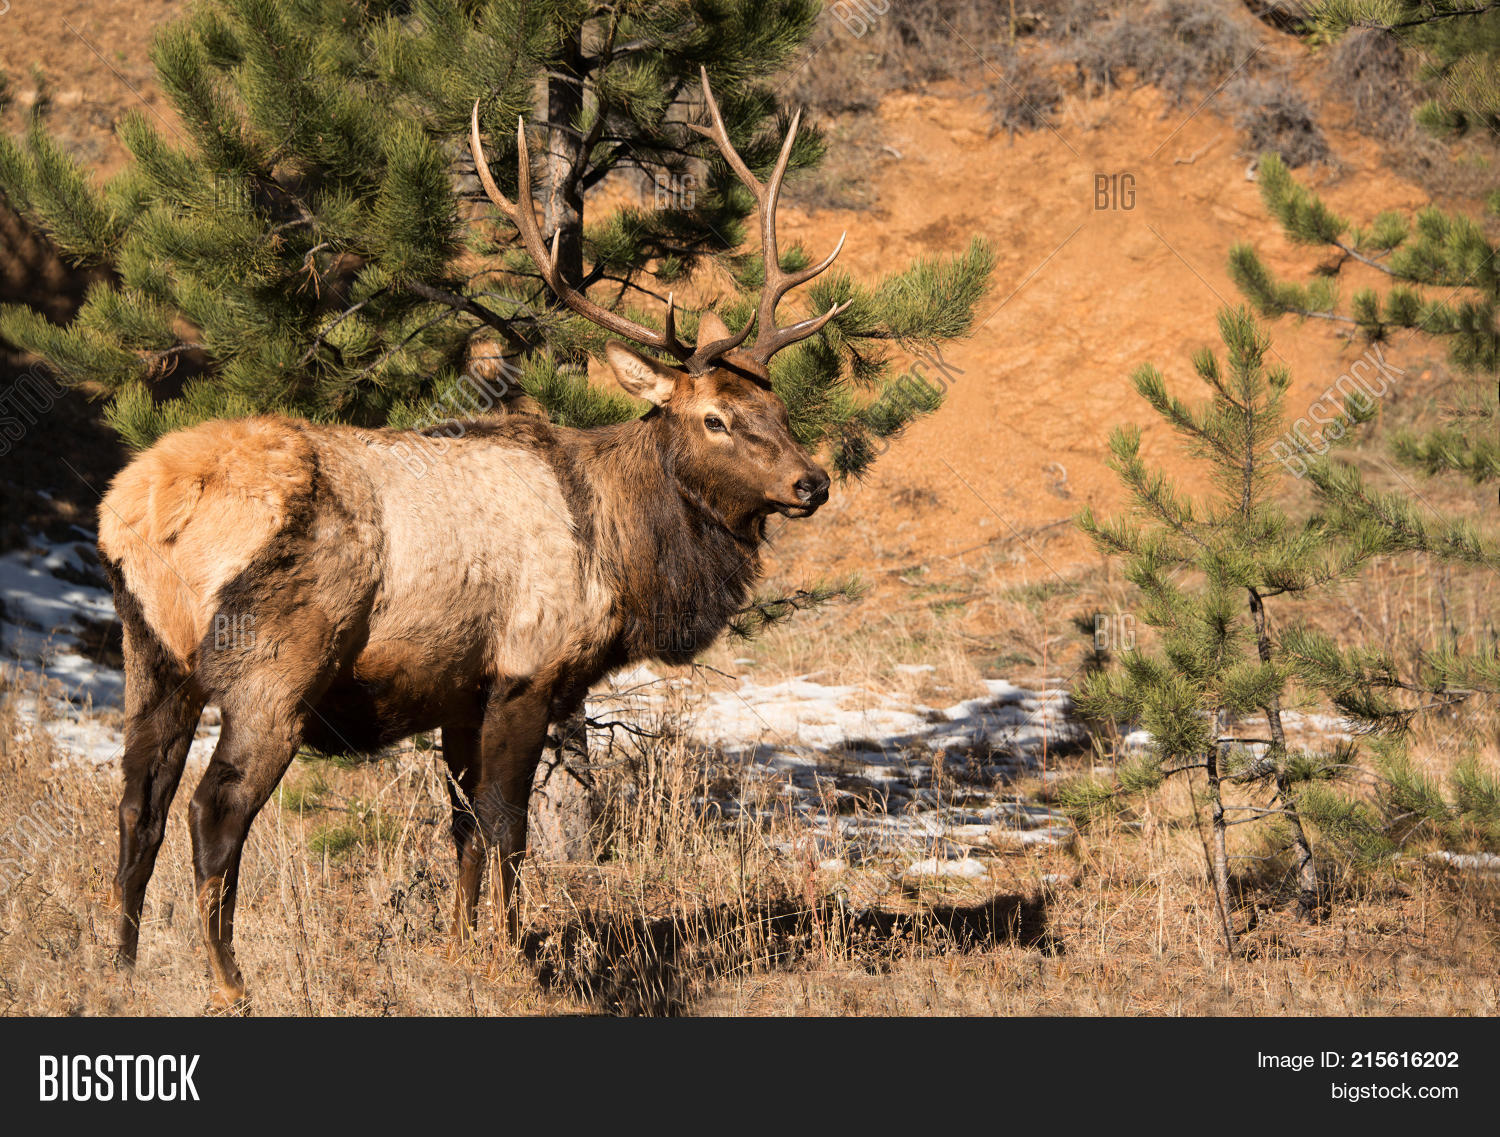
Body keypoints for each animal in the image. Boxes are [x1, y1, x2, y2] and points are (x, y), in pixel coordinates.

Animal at [97, 69, 848, 1007]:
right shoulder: (528, 668)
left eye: (775, 408)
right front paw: (513, 953)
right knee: (213, 808)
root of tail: (137, 506)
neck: (618, 551)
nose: (812, 482)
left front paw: (458, 946)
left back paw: (121, 965)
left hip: (151, 650)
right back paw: (230, 981)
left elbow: (458, 829)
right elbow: (507, 828)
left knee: (139, 800)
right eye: (715, 417)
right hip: (276, 663)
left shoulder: (459, 687)